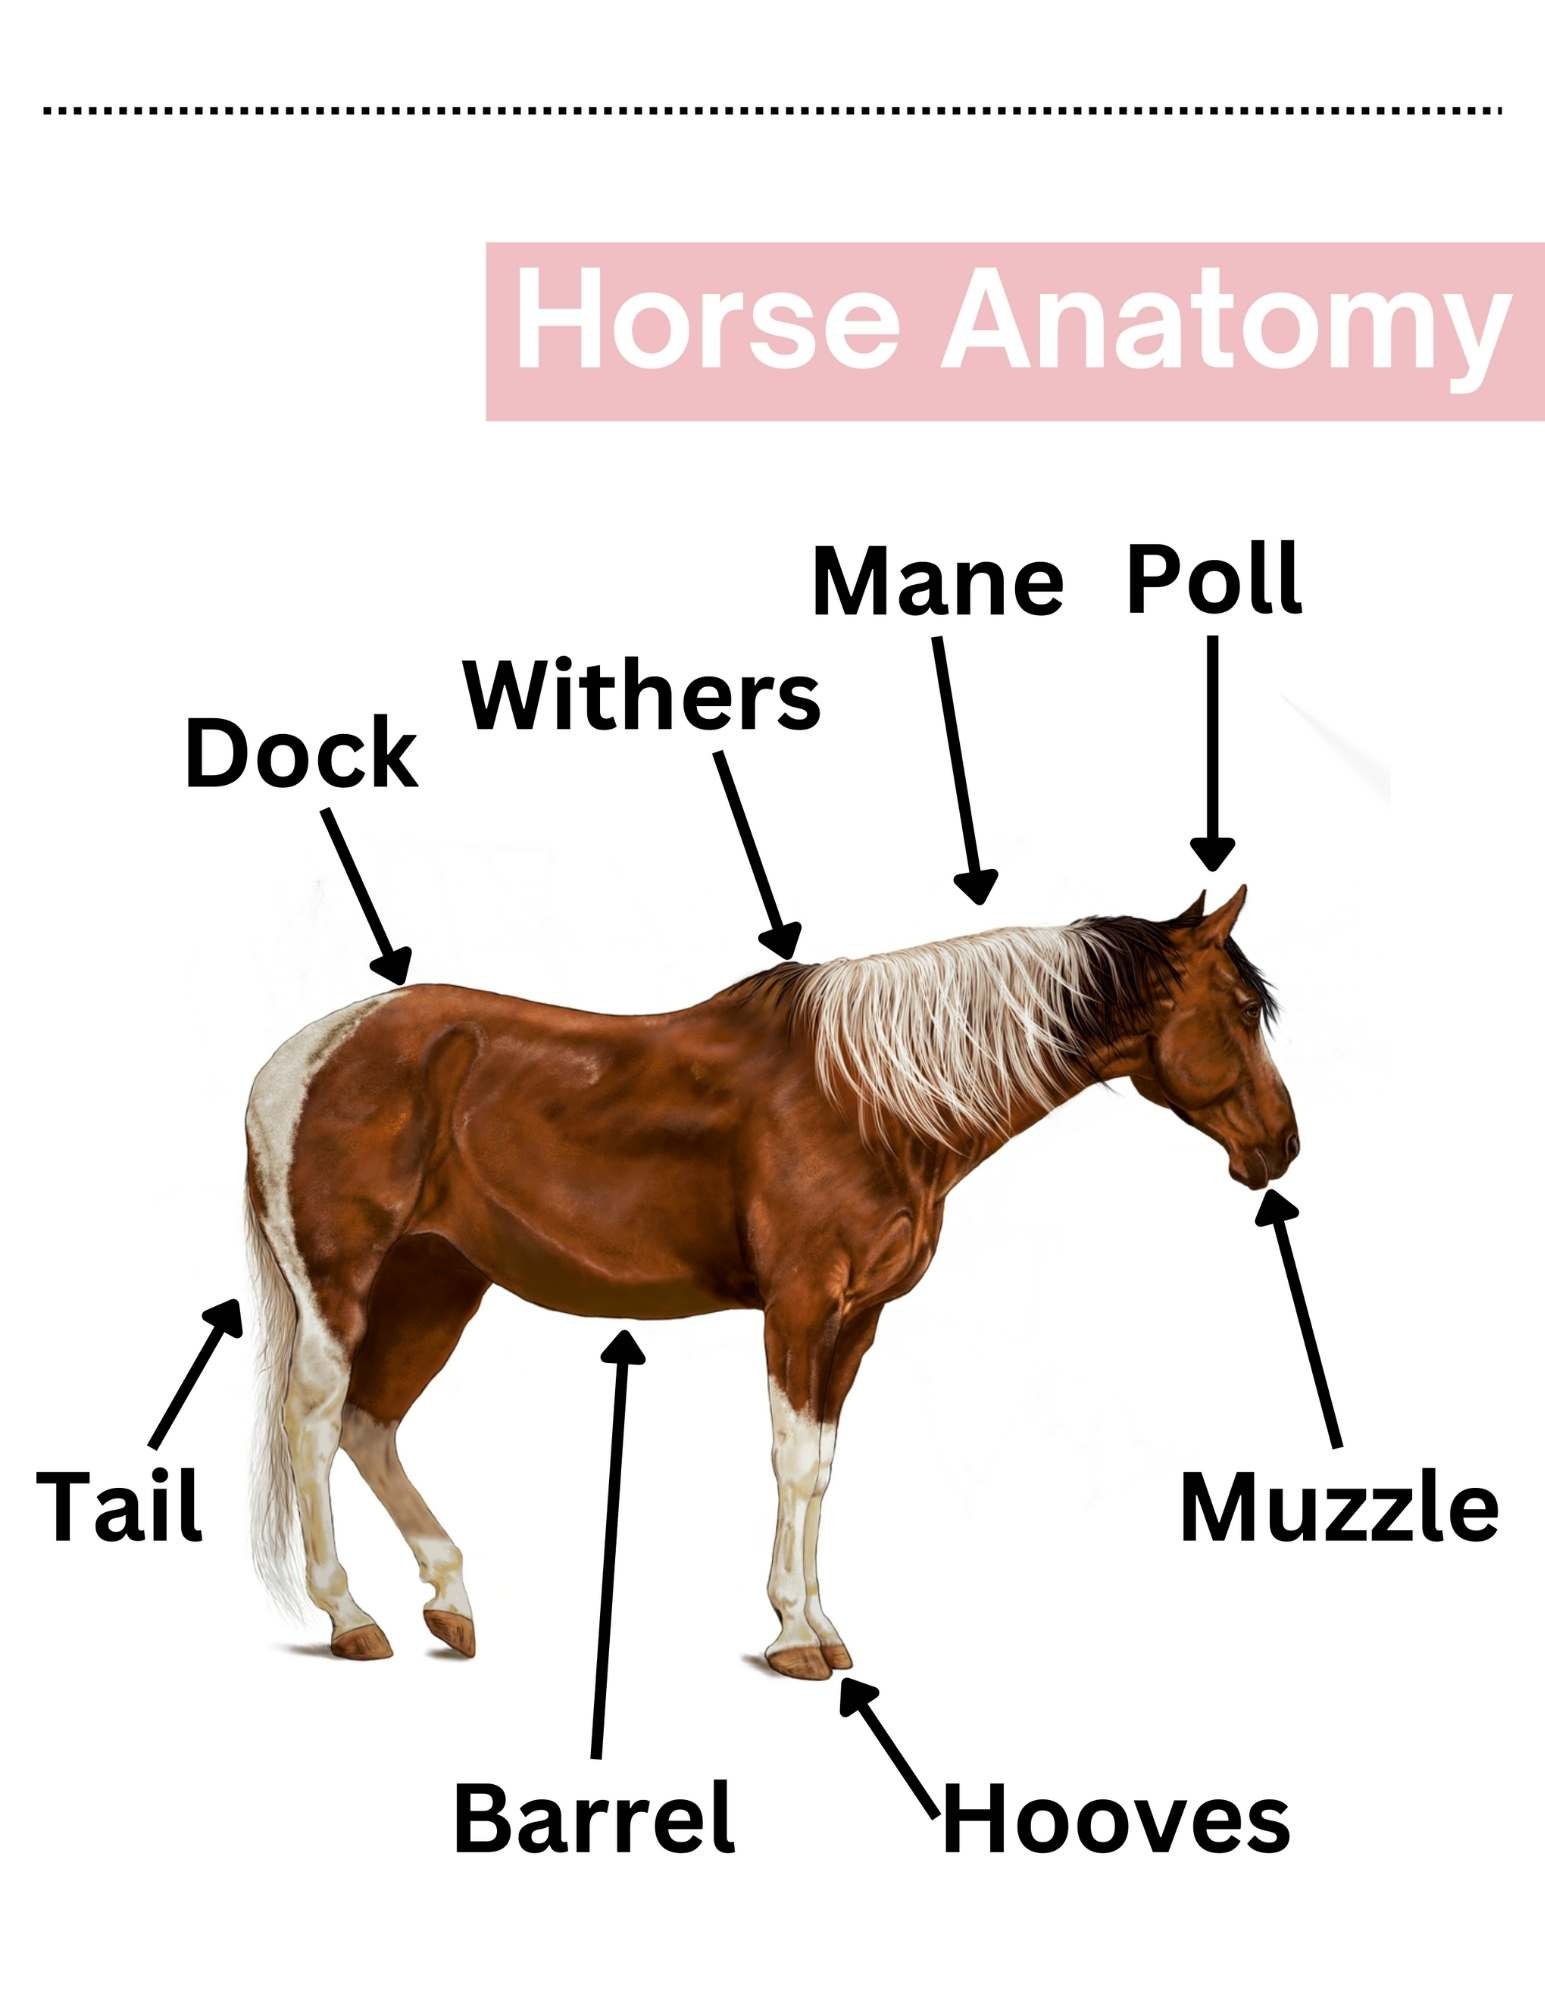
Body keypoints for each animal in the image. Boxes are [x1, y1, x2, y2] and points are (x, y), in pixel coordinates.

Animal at [244, 881, 1296, 1675]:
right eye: (1244, 1011)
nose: (1280, 1148)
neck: (872, 1098)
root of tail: (297, 1058)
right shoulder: (798, 1308)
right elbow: (792, 1463)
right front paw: (795, 1637)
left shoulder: (857, 1321)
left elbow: (823, 1467)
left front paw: (824, 1625)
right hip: (344, 1286)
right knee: (316, 1421)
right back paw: (351, 1620)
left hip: (439, 1284)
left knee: (371, 1425)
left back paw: (452, 1602)